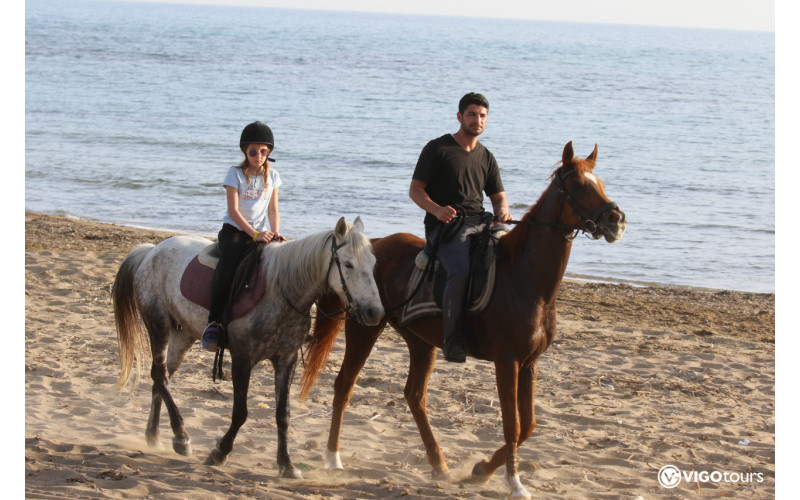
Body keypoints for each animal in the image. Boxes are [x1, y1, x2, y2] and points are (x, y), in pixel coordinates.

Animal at [112, 216, 384, 477]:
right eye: (348, 264)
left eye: (372, 264)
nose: (375, 312)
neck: (281, 291)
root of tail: (151, 251)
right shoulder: (242, 358)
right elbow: (240, 412)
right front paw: (220, 452)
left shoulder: (286, 360)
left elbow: (282, 414)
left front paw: (286, 464)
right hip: (158, 324)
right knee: (159, 375)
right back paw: (181, 436)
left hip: (183, 334)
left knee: (162, 379)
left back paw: (154, 436)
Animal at [298, 142, 626, 498]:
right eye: (578, 185)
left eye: (601, 183)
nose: (616, 219)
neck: (522, 278)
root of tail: (376, 245)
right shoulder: (507, 361)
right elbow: (512, 425)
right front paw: (513, 482)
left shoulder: (529, 363)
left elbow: (528, 425)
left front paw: (481, 470)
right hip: (364, 327)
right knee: (345, 384)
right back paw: (333, 458)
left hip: (420, 341)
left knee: (414, 395)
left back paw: (438, 464)